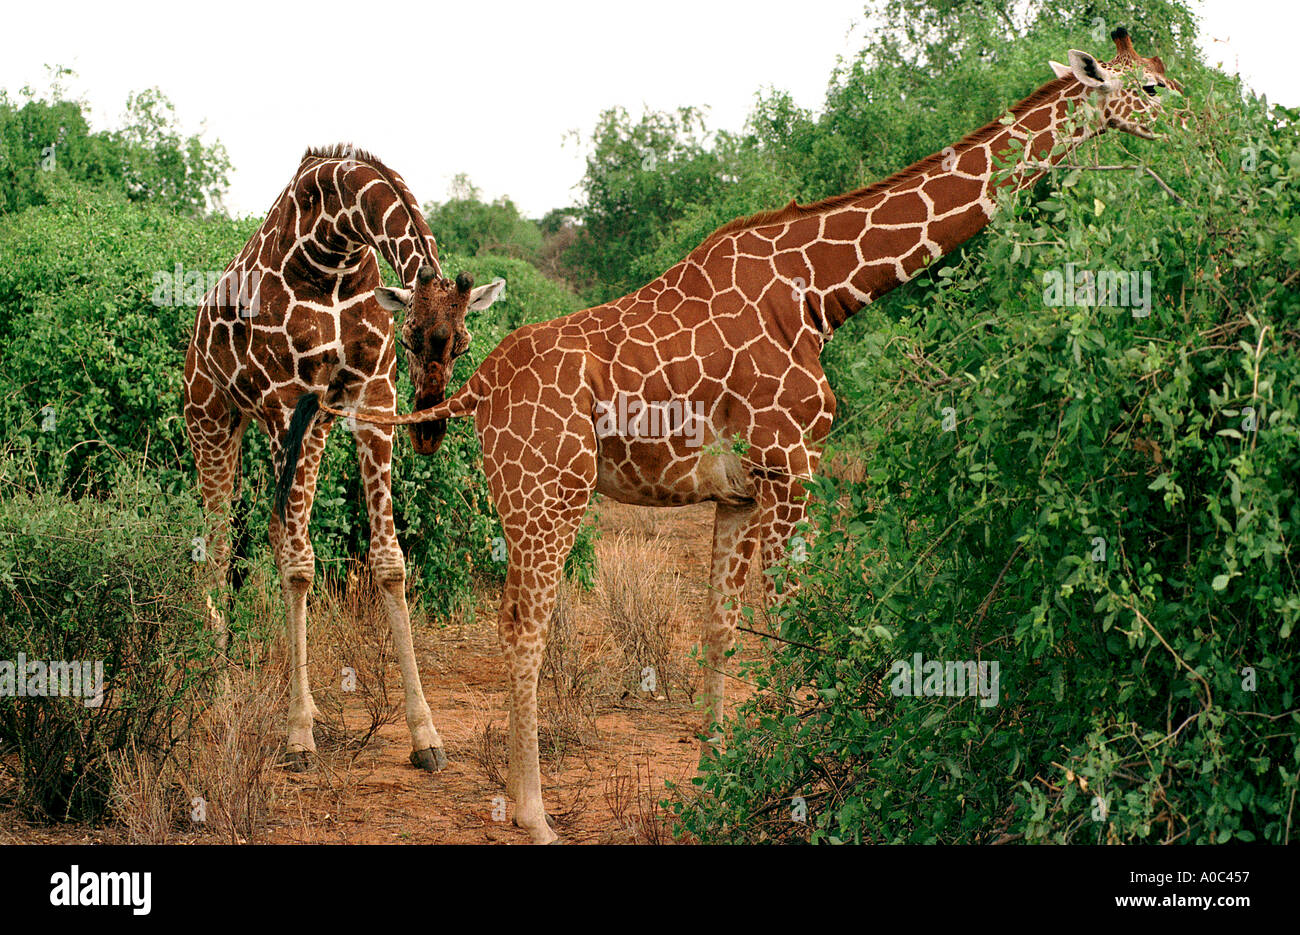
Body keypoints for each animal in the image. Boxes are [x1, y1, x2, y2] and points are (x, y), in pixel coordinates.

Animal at [184, 144, 504, 772]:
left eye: (462, 344)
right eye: (410, 336)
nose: (429, 433)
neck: (335, 245)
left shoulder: (371, 399)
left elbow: (389, 561)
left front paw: (425, 736)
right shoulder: (289, 400)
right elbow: (300, 565)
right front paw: (298, 737)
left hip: (297, 426)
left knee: (270, 532)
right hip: (212, 421)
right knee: (220, 548)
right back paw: (220, 696)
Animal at [309, 29, 1179, 842]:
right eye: (1150, 87)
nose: (1196, 126)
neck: (825, 288)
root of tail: (480, 386)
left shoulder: (738, 488)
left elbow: (722, 627)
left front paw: (719, 773)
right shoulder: (795, 461)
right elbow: (791, 622)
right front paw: (809, 776)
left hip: (526, 496)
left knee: (519, 620)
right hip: (548, 492)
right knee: (523, 626)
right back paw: (532, 811)